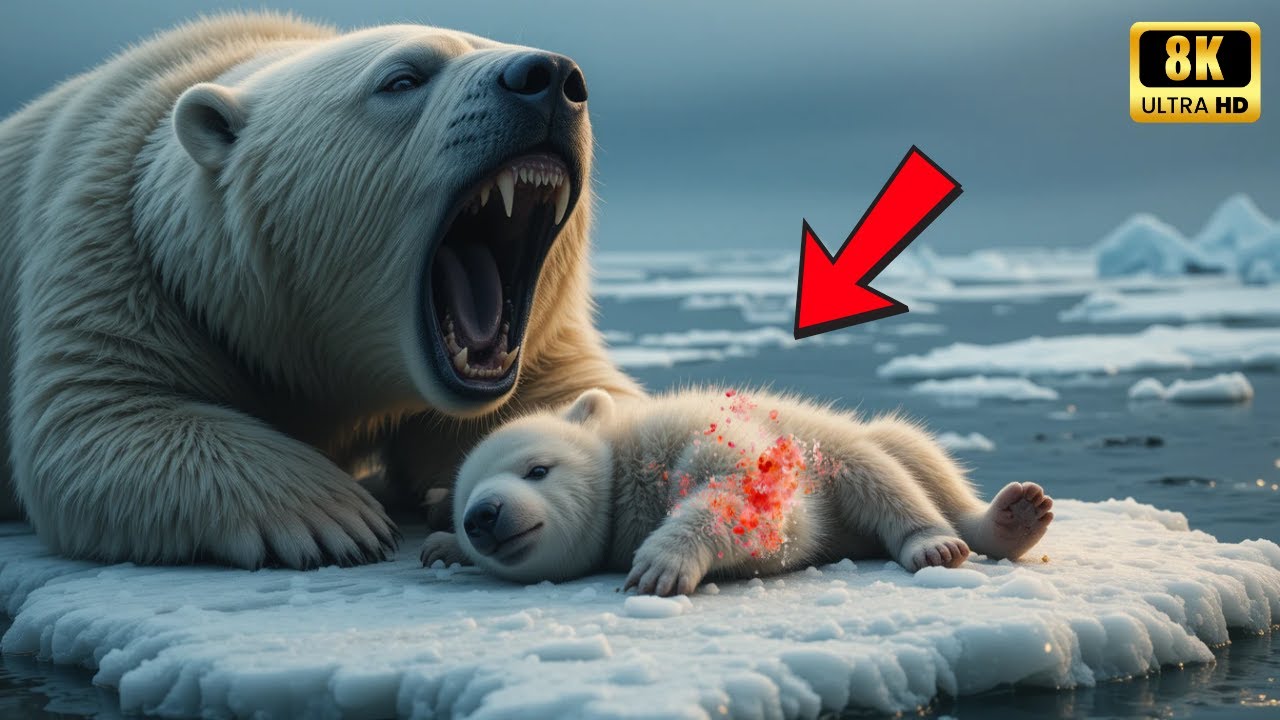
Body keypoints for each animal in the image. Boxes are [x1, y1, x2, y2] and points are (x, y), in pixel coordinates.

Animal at [0, 14, 641, 569]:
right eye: (403, 78)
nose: (550, 76)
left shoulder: (540, 342)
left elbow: (572, 395)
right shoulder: (116, 252)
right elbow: (94, 418)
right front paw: (334, 518)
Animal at [421, 388, 1054, 596]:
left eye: (537, 470)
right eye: (463, 511)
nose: (482, 517)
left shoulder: (675, 436)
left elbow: (753, 491)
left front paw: (661, 564)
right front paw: (439, 547)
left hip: (841, 443)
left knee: (895, 463)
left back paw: (972, 531)